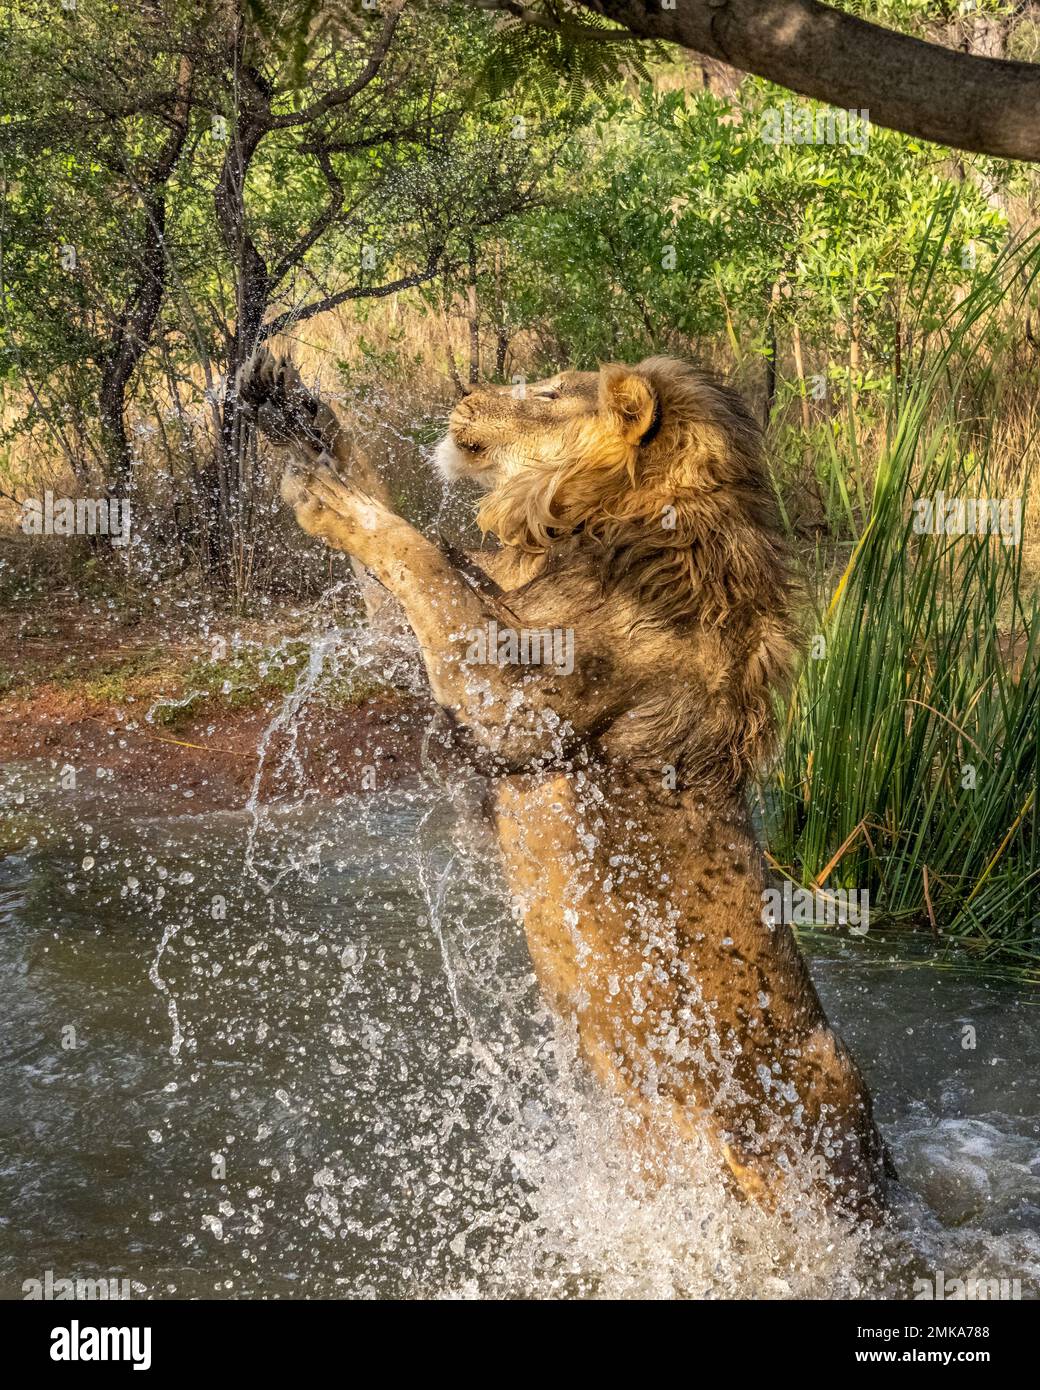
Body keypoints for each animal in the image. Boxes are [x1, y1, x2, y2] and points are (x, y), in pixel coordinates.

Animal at [239, 350, 891, 1220]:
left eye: (547, 393)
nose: (464, 394)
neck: (578, 531)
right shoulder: (438, 660)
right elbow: (404, 559)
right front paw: (299, 417)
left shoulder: (517, 703)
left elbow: (417, 553)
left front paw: (330, 499)